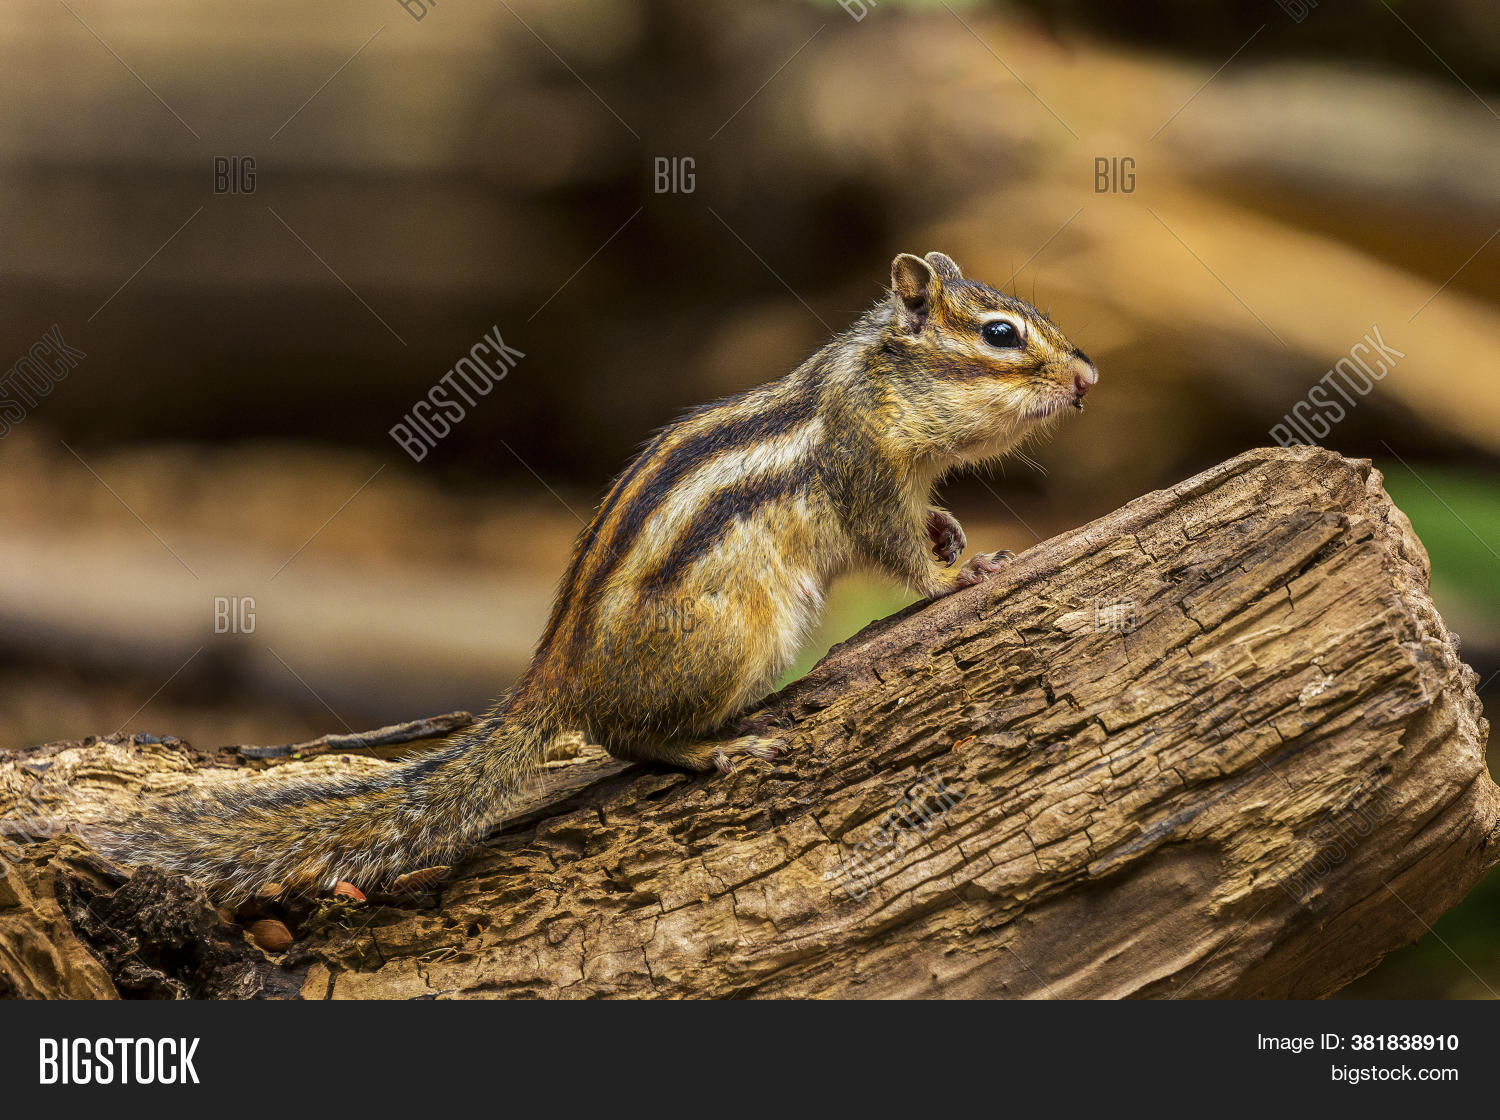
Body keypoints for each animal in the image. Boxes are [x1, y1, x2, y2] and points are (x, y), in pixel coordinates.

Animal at [96, 250, 1096, 901]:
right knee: (624, 737)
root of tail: (557, 676)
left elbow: (922, 525)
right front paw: (957, 577)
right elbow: (895, 552)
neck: (874, 387)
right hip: (736, 636)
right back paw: (713, 749)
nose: (1088, 379)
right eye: (1001, 334)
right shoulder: (864, 476)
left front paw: (956, 533)